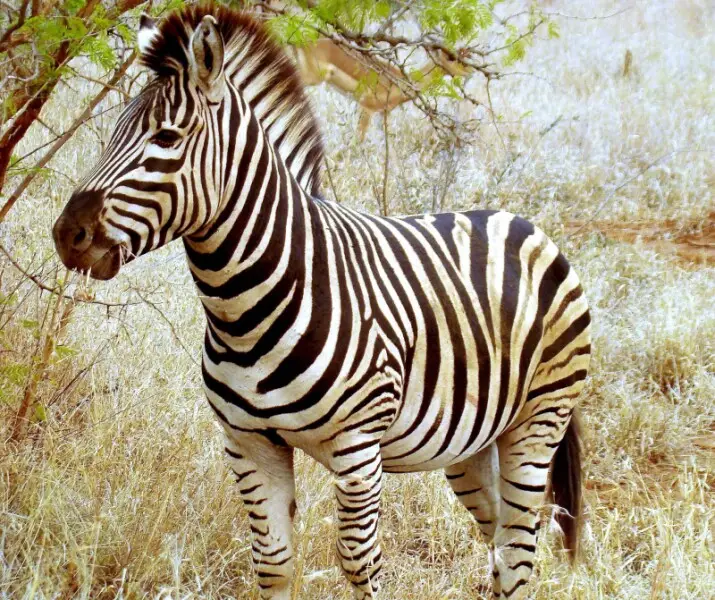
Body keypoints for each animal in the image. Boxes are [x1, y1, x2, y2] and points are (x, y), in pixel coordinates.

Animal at [52, 5, 591, 599]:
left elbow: (359, 563)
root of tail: (524, 224)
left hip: (539, 418)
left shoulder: (357, 448)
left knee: (518, 549)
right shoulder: (248, 442)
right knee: (500, 543)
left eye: (167, 137)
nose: (67, 235)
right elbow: (273, 562)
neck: (245, 311)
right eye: (113, 132)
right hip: (474, 443)